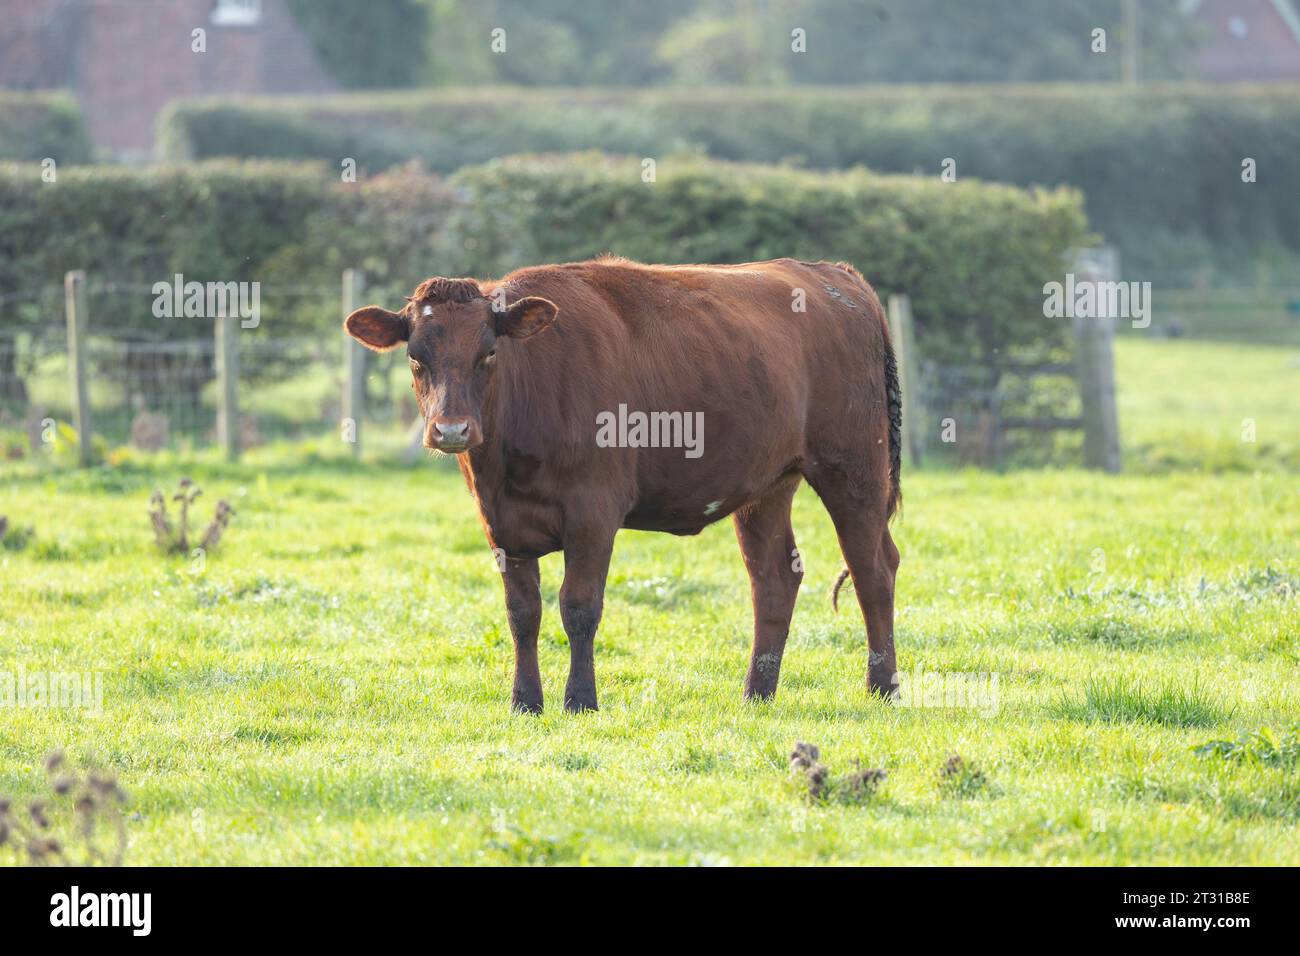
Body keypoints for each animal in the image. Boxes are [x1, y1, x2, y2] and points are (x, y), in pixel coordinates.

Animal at [344, 256, 901, 713]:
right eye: (416, 356)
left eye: (488, 353)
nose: (453, 430)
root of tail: (835, 275)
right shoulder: (500, 523)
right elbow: (522, 612)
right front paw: (525, 701)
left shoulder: (593, 512)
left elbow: (578, 606)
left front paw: (580, 700)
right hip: (767, 485)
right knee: (773, 579)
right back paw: (756, 694)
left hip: (853, 466)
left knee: (873, 568)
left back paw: (883, 687)